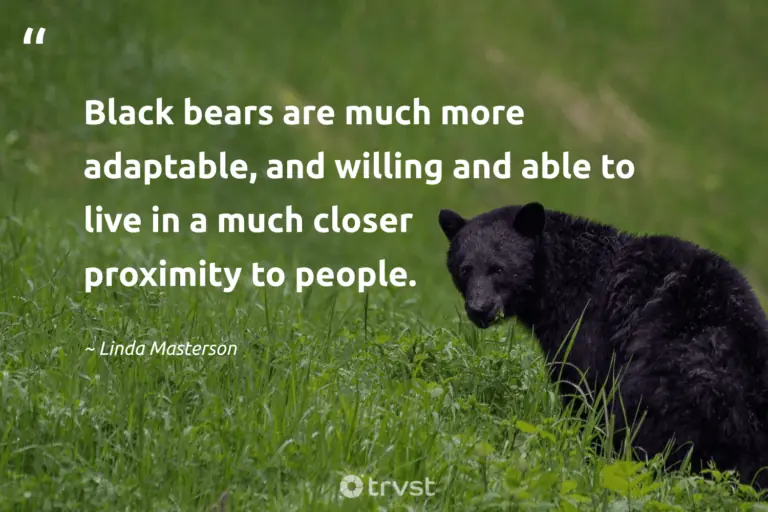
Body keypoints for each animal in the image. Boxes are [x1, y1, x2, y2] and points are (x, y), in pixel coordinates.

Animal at [438, 201, 768, 490]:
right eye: (465, 269)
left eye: (499, 268)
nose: (480, 308)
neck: (560, 280)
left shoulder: (586, 326)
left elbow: (583, 386)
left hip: (665, 385)